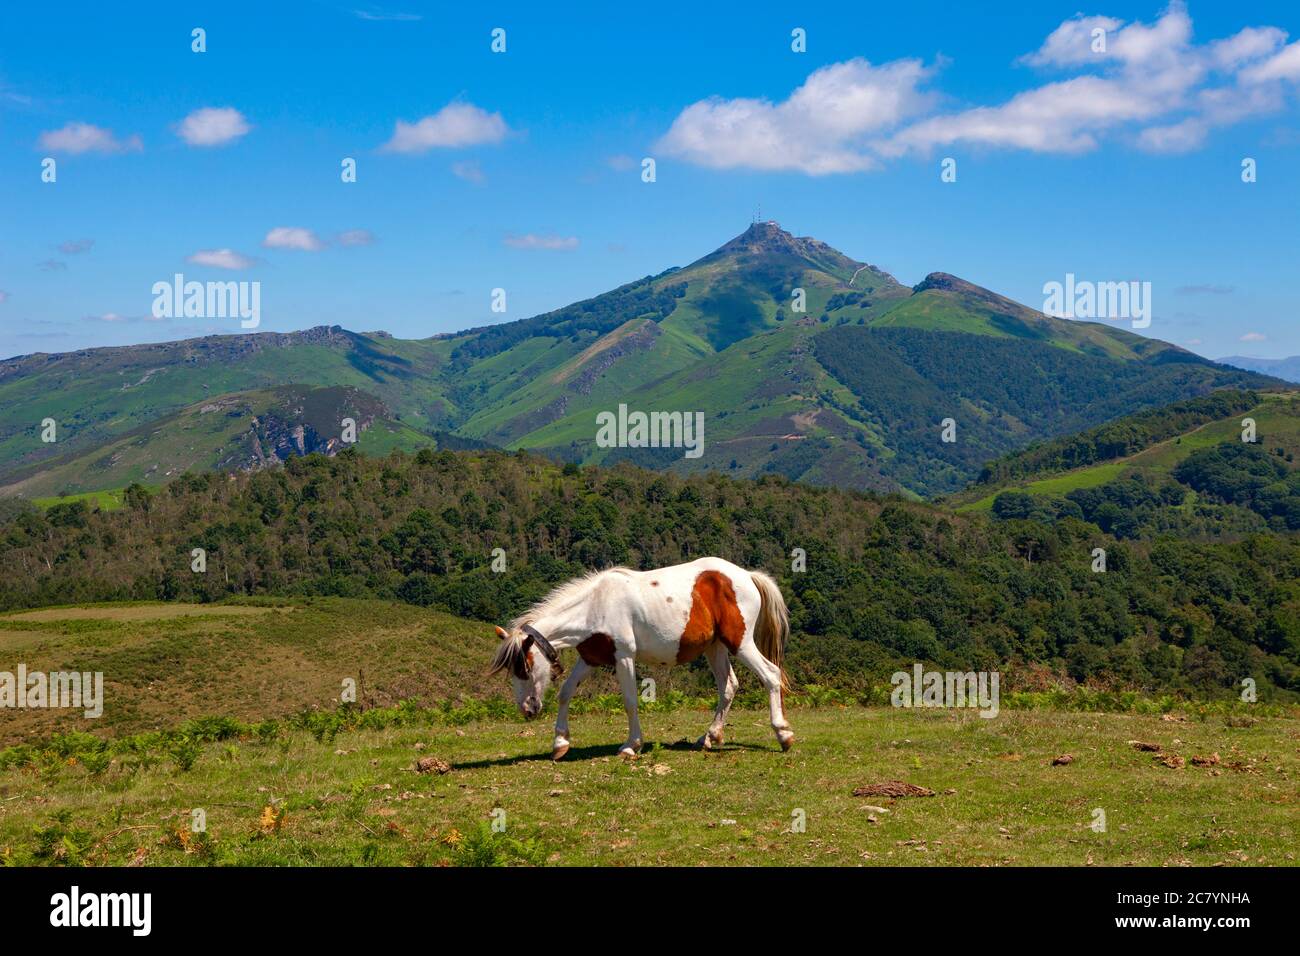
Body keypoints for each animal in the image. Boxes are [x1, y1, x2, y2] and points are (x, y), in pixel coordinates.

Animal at [488, 557, 793, 759]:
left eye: (525, 666)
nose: (527, 709)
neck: (595, 605)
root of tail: (746, 575)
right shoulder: (590, 659)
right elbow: (566, 692)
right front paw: (560, 743)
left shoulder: (624, 656)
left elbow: (630, 700)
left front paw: (631, 745)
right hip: (714, 647)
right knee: (728, 686)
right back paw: (710, 737)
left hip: (740, 642)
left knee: (770, 675)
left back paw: (783, 735)